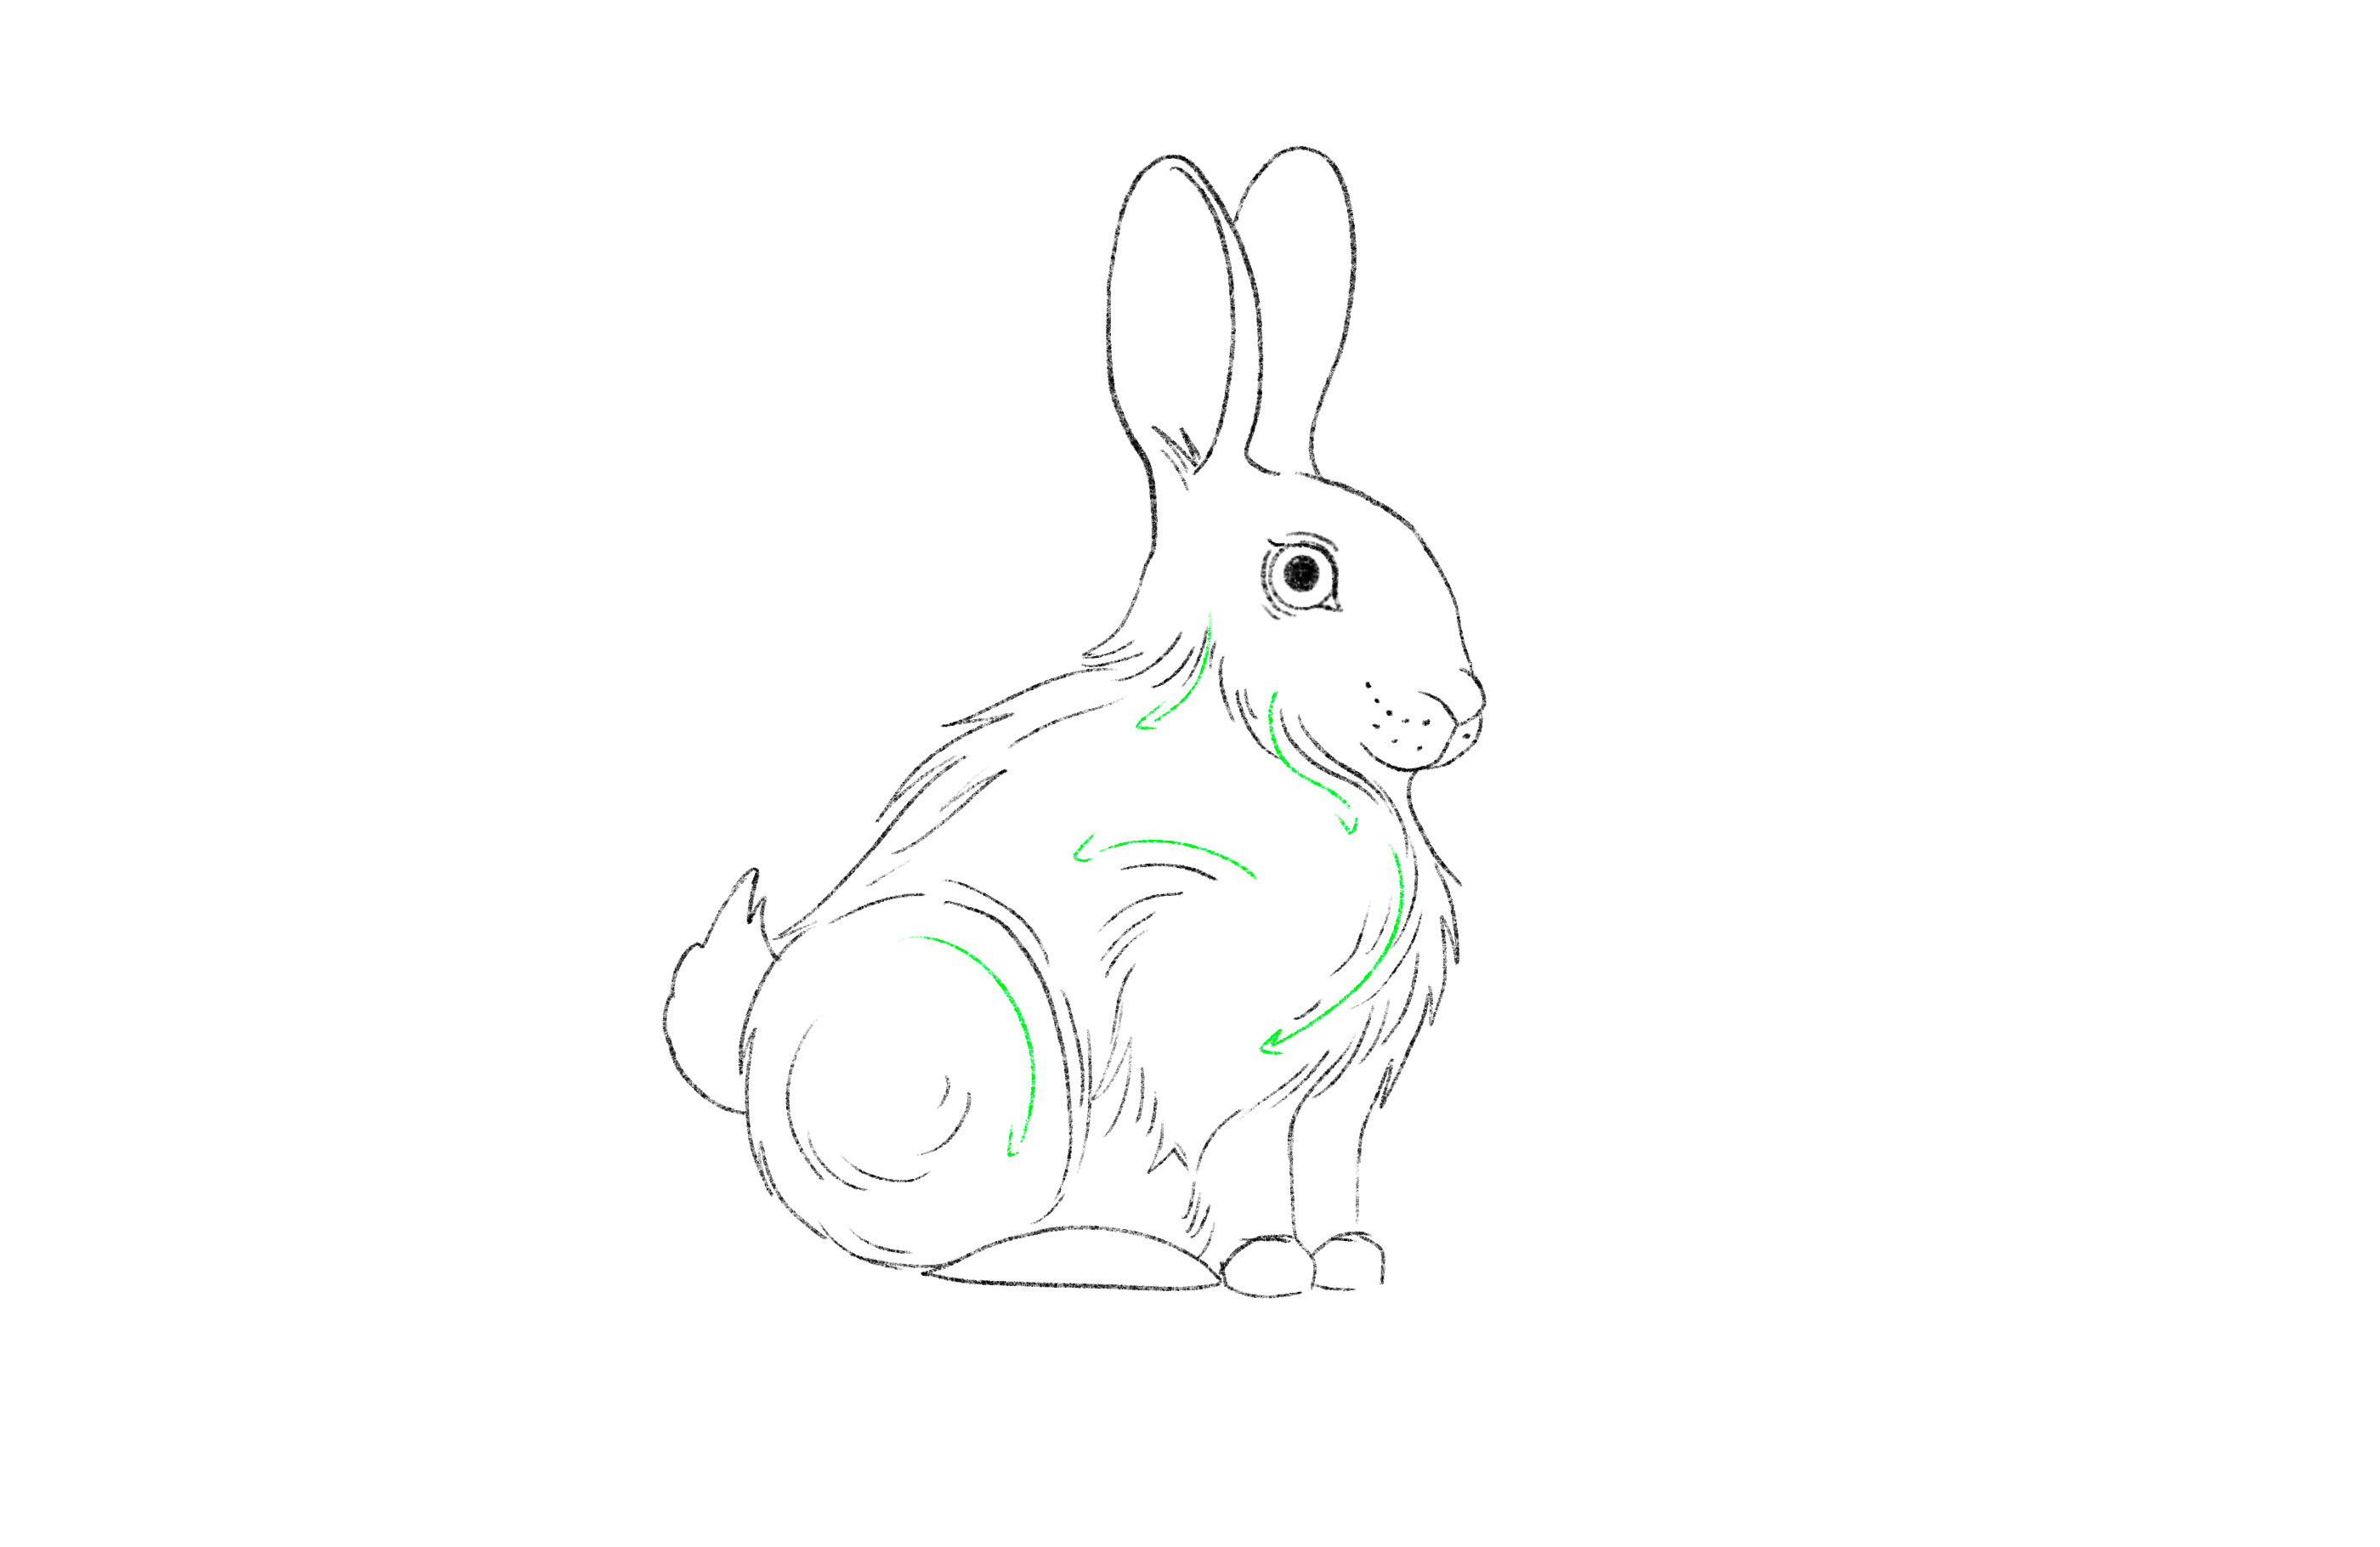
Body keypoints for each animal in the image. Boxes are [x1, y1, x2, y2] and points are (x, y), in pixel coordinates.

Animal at [663, 148, 1484, 1297]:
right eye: (1302, 574)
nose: (1462, 713)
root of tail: (748, 1060)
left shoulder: (1337, 1092)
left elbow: (1330, 1165)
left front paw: (1352, 1262)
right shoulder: (1215, 1040)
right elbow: (1245, 1162)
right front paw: (1267, 1266)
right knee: (954, 1248)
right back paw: (1113, 1254)